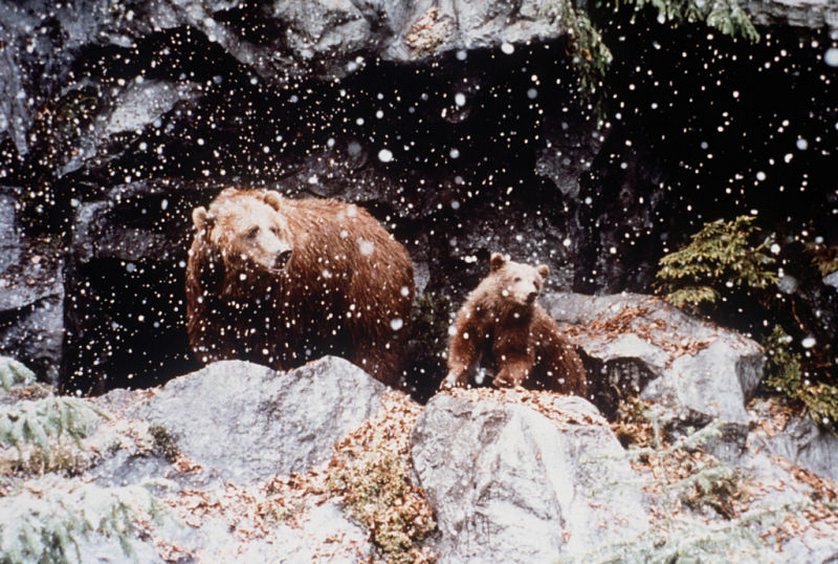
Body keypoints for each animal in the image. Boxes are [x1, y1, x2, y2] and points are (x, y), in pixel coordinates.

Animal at [185, 187, 414, 387]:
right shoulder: (206, 294)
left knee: (376, 341)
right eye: (252, 231)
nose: (282, 253)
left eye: (274, 228)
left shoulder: (280, 299)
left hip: (368, 285)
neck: (240, 287)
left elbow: (274, 344)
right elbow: (213, 340)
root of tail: (392, 240)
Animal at [443, 252, 587, 396]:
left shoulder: (519, 326)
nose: (531, 293)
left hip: (563, 370)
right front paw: (452, 379)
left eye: (535, 282)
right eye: (517, 278)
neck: (501, 311)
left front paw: (503, 380)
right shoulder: (477, 316)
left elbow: (517, 354)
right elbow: (464, 343)